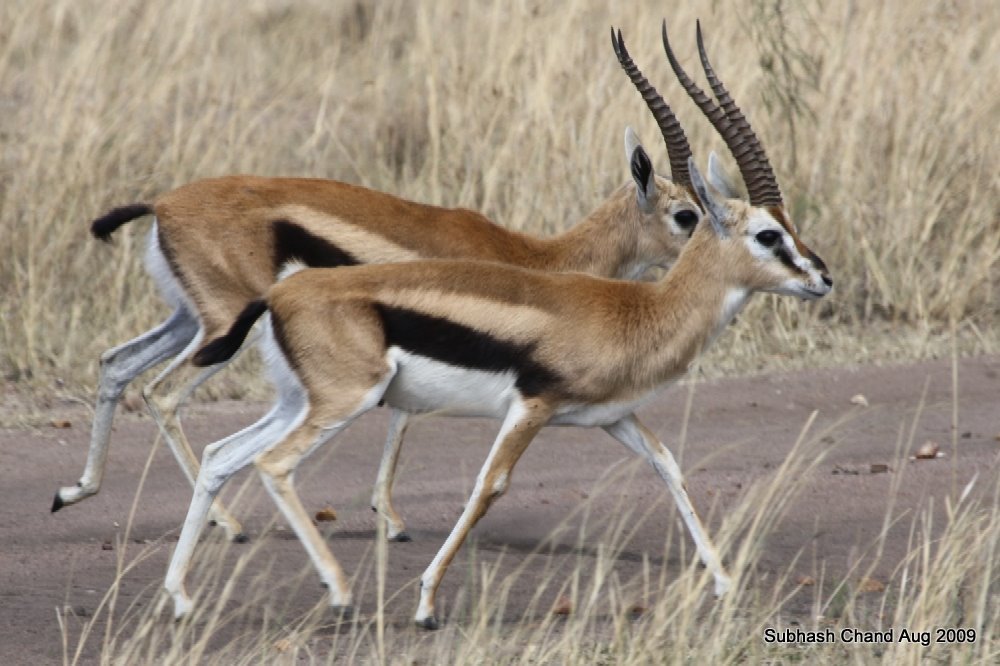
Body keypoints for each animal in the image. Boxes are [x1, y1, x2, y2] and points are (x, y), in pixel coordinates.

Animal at [52, 34, 704, 543]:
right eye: (687, 215)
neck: (531, 254)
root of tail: (161, 204)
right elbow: (405, 416)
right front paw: (390, 519)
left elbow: (402, 412)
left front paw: (387, 515)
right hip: (223, 327)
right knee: (162, 394)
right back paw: (225, 524)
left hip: (192, 319)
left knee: (116, 364)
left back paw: (75, 490)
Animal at [162, 22, 833, 628]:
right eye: (766, 235)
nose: (823, 277)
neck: (636, 310)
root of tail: (280, 294)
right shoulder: (531, 408)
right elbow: (490, 486)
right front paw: (426, 604)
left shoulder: (613, 417)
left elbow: (667, 464)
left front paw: (725, 583)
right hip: (345, 400)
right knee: (273, 464)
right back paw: (340, 594)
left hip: (297, 400)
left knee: (222, 456)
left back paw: (182, 598)